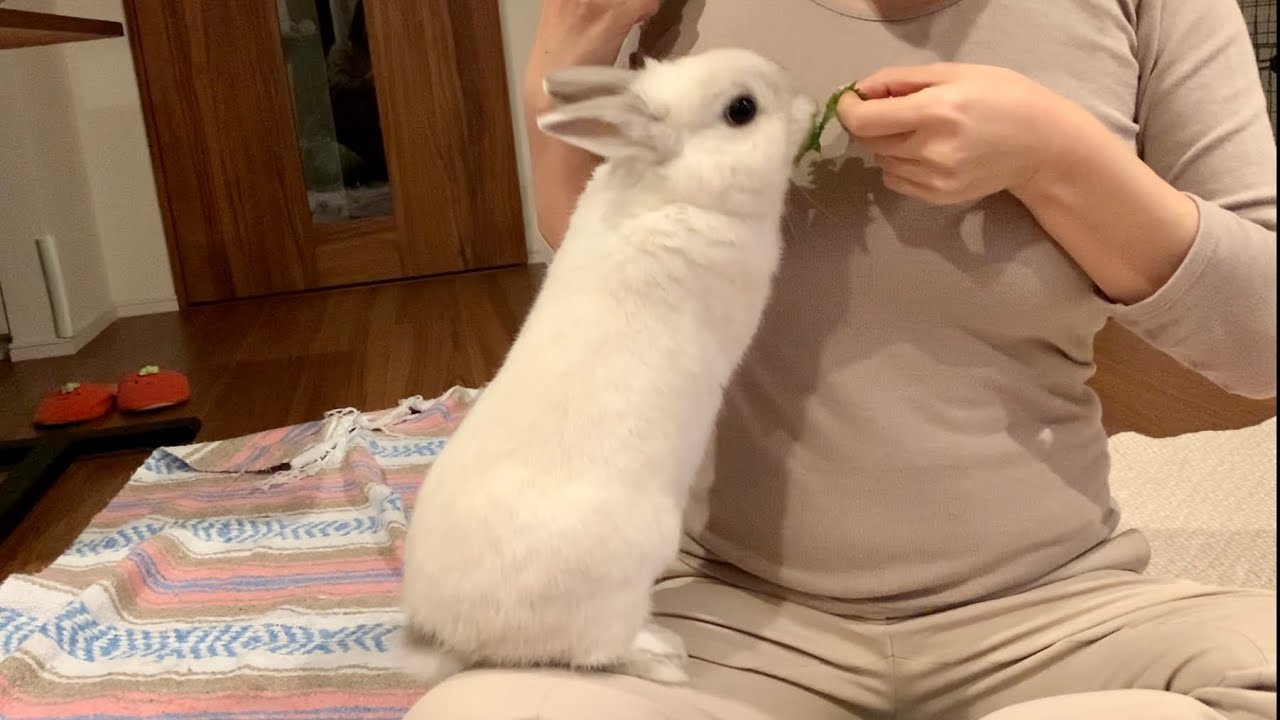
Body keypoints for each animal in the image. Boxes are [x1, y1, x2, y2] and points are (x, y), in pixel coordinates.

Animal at [400, 47, 817, 686]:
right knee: (597, 651)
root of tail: (458, 630)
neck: (671, 186)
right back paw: (666, 656)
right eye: (742, 110)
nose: (811, 105)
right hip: (624, 575)